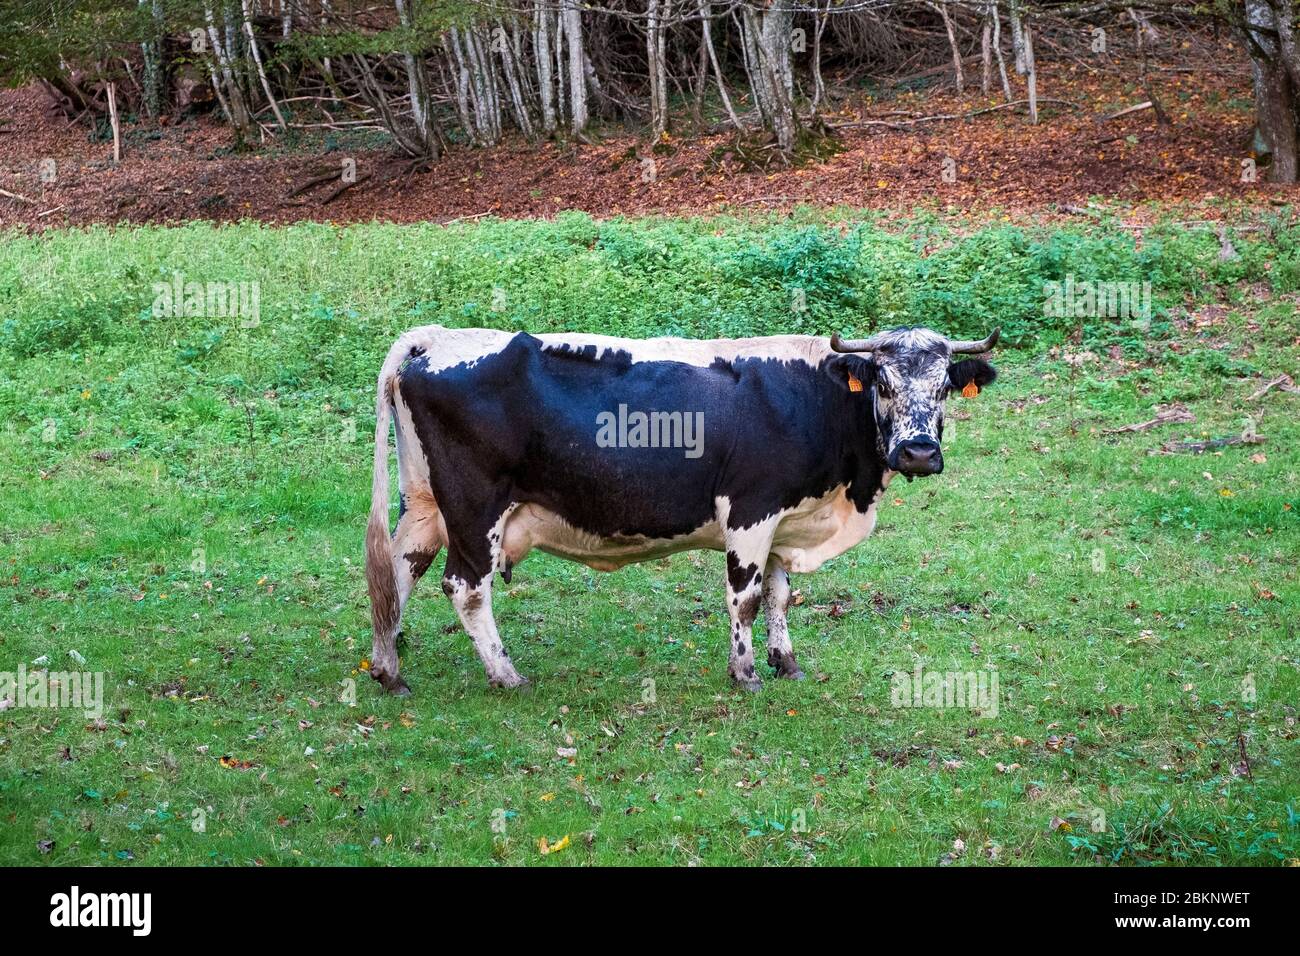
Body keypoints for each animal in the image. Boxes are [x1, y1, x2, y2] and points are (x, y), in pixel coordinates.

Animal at [364, 325, 999, 695]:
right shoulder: (751, 509)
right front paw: (745, 673)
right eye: (883, 383)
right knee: (465, 587)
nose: (919, 452)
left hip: (424, 506)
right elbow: (745, 599)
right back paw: (506, 675)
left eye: (944, 385)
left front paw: (786, 662)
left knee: (397, 574)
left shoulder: (785, 517)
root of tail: (435, 336)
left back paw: (388, 670)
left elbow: (779, 595)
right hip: (475, 509)